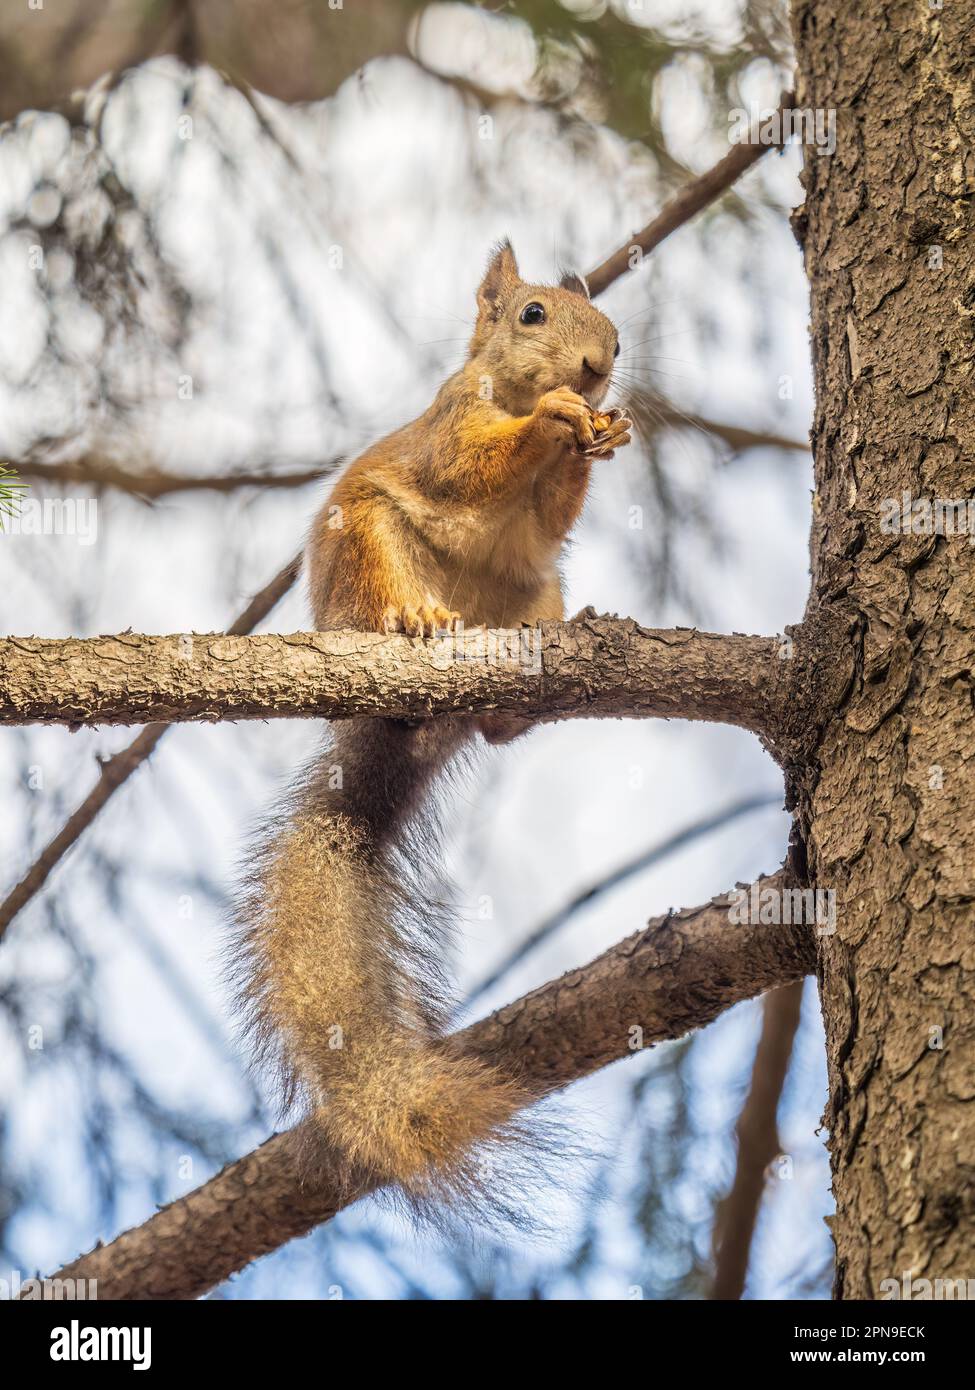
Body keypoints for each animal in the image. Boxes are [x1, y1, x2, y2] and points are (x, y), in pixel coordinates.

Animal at [233, 241, 631, 1213]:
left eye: (613, 331)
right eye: (530, 314)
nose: (596, 371)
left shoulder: (546, 523)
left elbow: (551, 512)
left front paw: (604, 434)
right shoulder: (452, 427)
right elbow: (473, 468)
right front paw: (555, 421)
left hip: (538, 591)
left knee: (498, 720)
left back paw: (512, 698)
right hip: (370, 544)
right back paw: (413, 622)